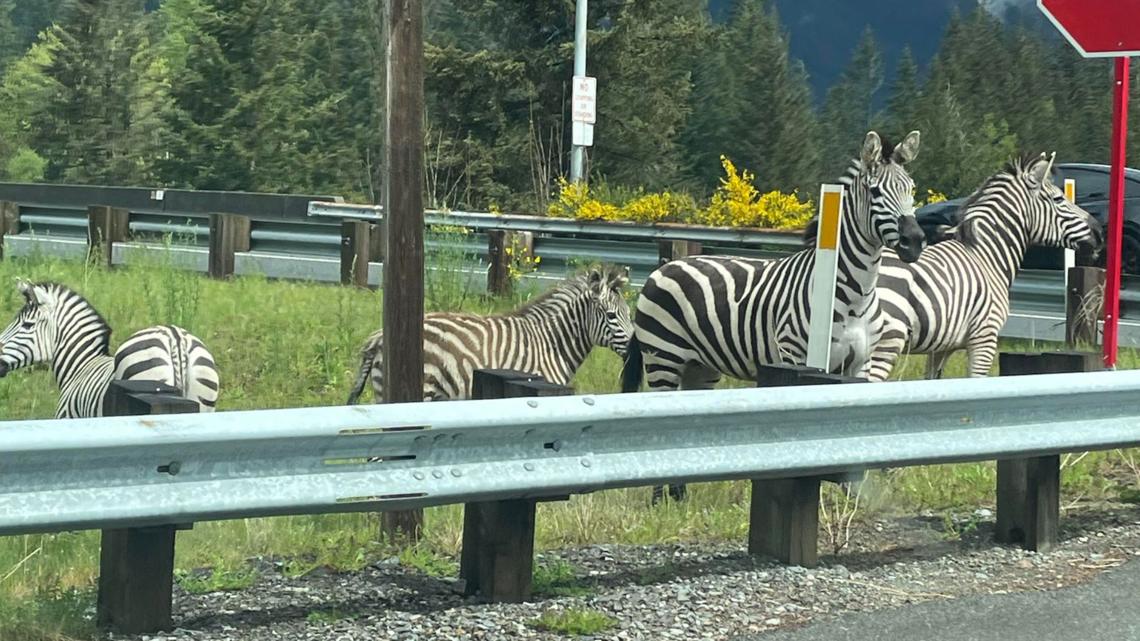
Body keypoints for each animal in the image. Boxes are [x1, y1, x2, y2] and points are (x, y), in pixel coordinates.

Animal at [621, 130, 926, 504]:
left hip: (700, 365)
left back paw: (679, 500)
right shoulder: (797, 357)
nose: (915, 242)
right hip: (663, 356)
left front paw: (851, 499)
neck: (855, 294)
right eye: (875, 192)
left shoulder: (861, 363)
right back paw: (659, 500)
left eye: (911, 189)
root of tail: (664, 267)